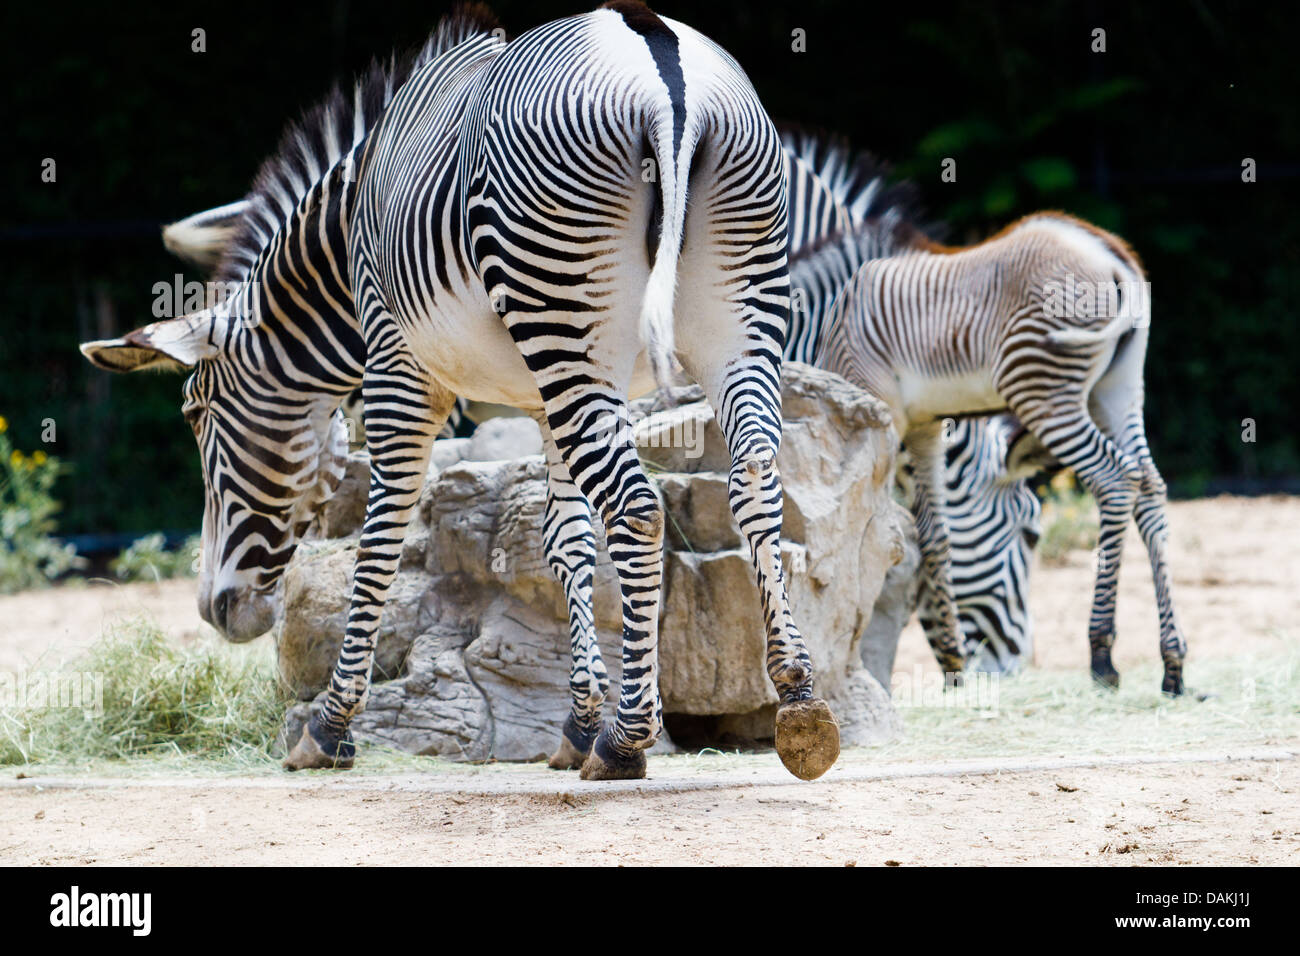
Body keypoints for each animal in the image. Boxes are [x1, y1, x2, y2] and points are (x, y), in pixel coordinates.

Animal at [80, 2, 842, 780]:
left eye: (195, 413)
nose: (214, 609)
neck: (347, 228)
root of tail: (655, 54)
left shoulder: (397, 362)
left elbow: (380, 537)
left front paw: (330, 726)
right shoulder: (546, 399)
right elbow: (565, 540)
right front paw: (575, 723)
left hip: (566, 314)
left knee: (636, 509)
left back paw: (628, 740)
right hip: (729, 316)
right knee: (755, 483)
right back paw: (798, 701)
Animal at [811, 209, 1188, 694]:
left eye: (1033, 537)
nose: (1013, 667)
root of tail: (1110, 254)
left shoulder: (877, 406)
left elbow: (869, 526)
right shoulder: (925, 426)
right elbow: (932, 534)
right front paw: (952, 663)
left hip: (1041, 384)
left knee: (1115, 479)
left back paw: (1102, 656)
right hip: (1117, 387)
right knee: (1150, 486)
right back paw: (1172, 665)